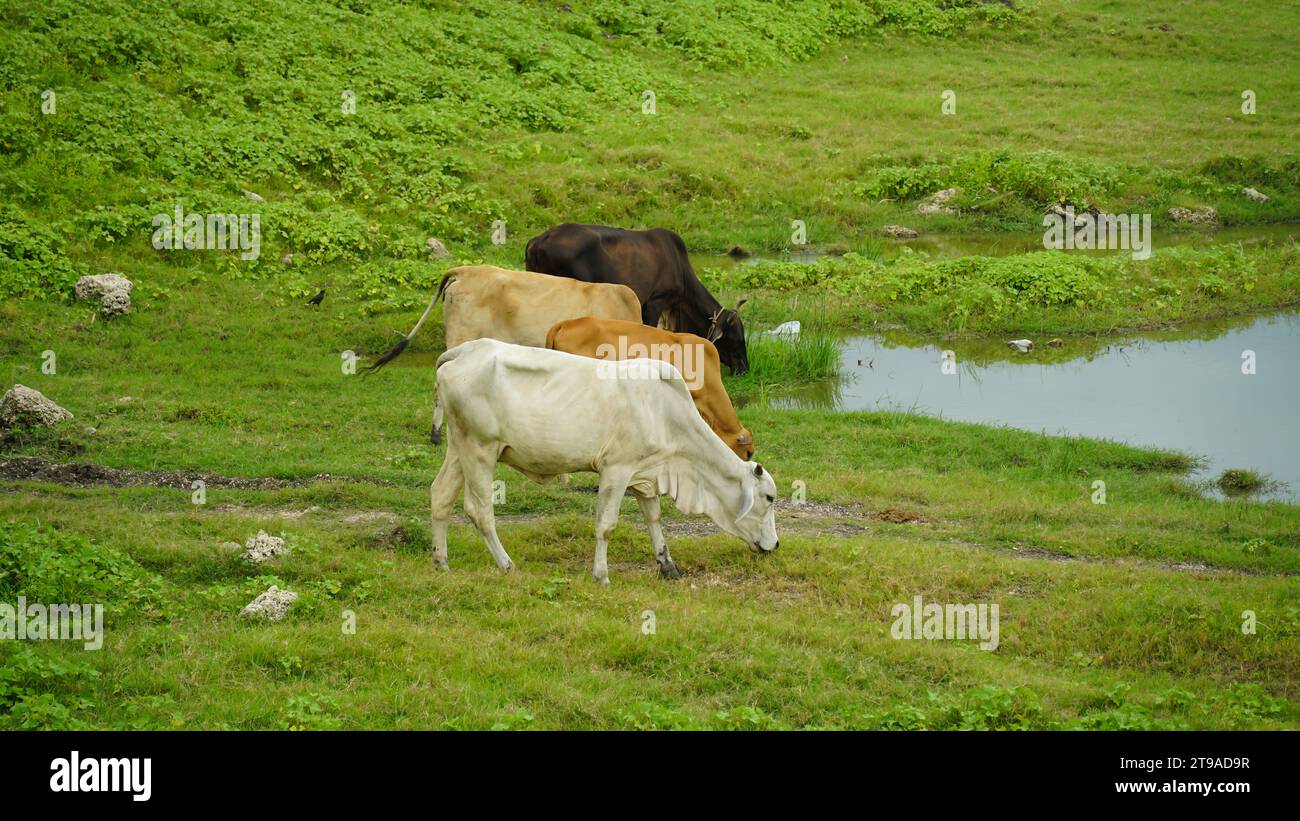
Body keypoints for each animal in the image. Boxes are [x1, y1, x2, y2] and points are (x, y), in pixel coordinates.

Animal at [429, 338, 780, 583]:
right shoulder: (616, 469)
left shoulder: (645, 474)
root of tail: (465, 351)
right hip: (480, 450)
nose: (775, 545)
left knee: (440, 495)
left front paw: (667, 565)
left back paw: (441, 562)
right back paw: (506, 564)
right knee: (479, 510)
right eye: (769, 498)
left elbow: (653, 518)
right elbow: (606, 525)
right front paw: (602, 575)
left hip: (459, 449)